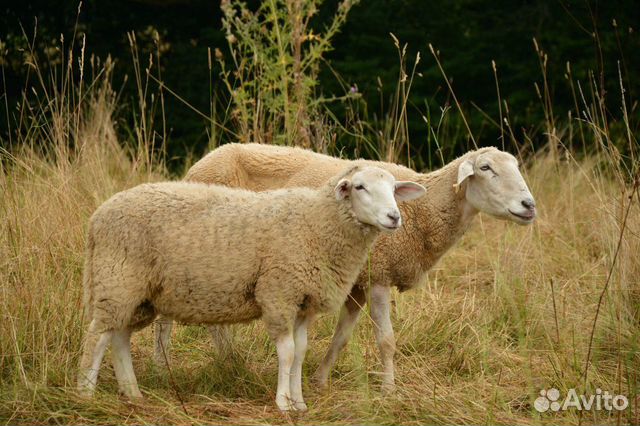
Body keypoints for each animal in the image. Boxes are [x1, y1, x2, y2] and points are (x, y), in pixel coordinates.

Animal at [77, 165, 426, 411]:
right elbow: (287, 352)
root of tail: (97, 217)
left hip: (137, 294)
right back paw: (85, 394)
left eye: (394, 189)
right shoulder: (278, 293)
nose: (394, 217)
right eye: (359, 186)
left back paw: (133, 393)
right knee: (97, 337)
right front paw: (284, 403)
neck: (317, 223)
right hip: (118, 279)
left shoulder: (304, 302)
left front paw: (300, 402)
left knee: (118, 336)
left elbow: (301, 351)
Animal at [154, 143, 536, 392]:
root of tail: (199, 164)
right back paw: (164, 367)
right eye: (485, 168)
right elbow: (386, 340)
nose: (529, 205)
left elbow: (341, 336)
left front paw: (319, 380)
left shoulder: (357, 281)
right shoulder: (379, 274)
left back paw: (229, 363)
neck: (424, 212)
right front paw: (389, 391)